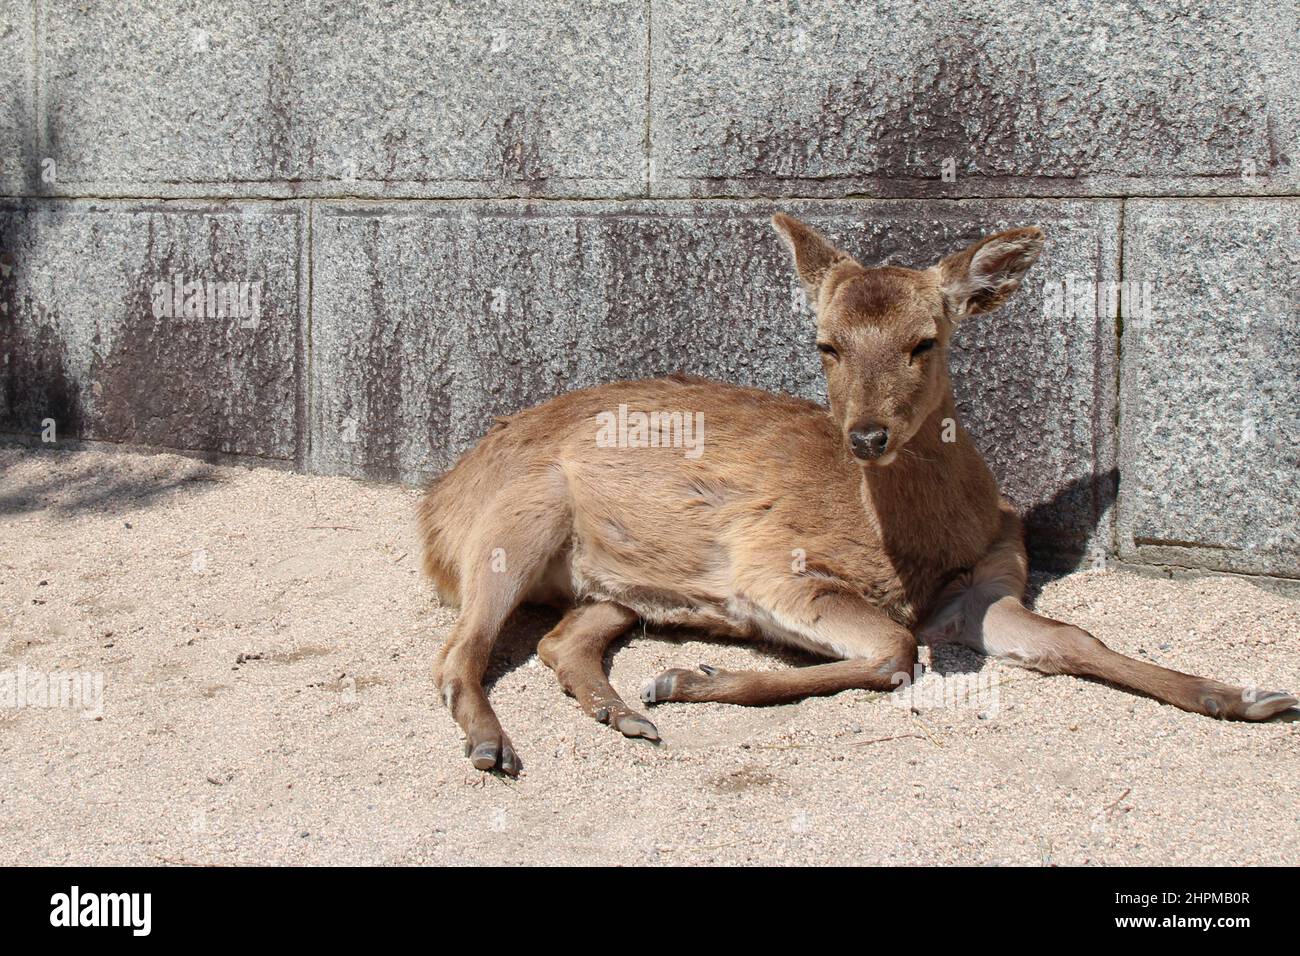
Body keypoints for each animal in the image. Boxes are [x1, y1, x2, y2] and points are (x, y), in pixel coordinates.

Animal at [418, 214, 1297, 775]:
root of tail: (438, 501)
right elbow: (896, 651)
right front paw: (691, 680)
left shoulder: (984, 589)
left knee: (562, 638)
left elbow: (1075, 639)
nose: (867, 436)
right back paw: (496, 745)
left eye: (925, 340)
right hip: (516, 520)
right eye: (826, 344)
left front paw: (1252, 696)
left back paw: (624, 712)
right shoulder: (773, 565)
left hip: (616, 582)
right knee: (457, 651)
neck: (917, 550)